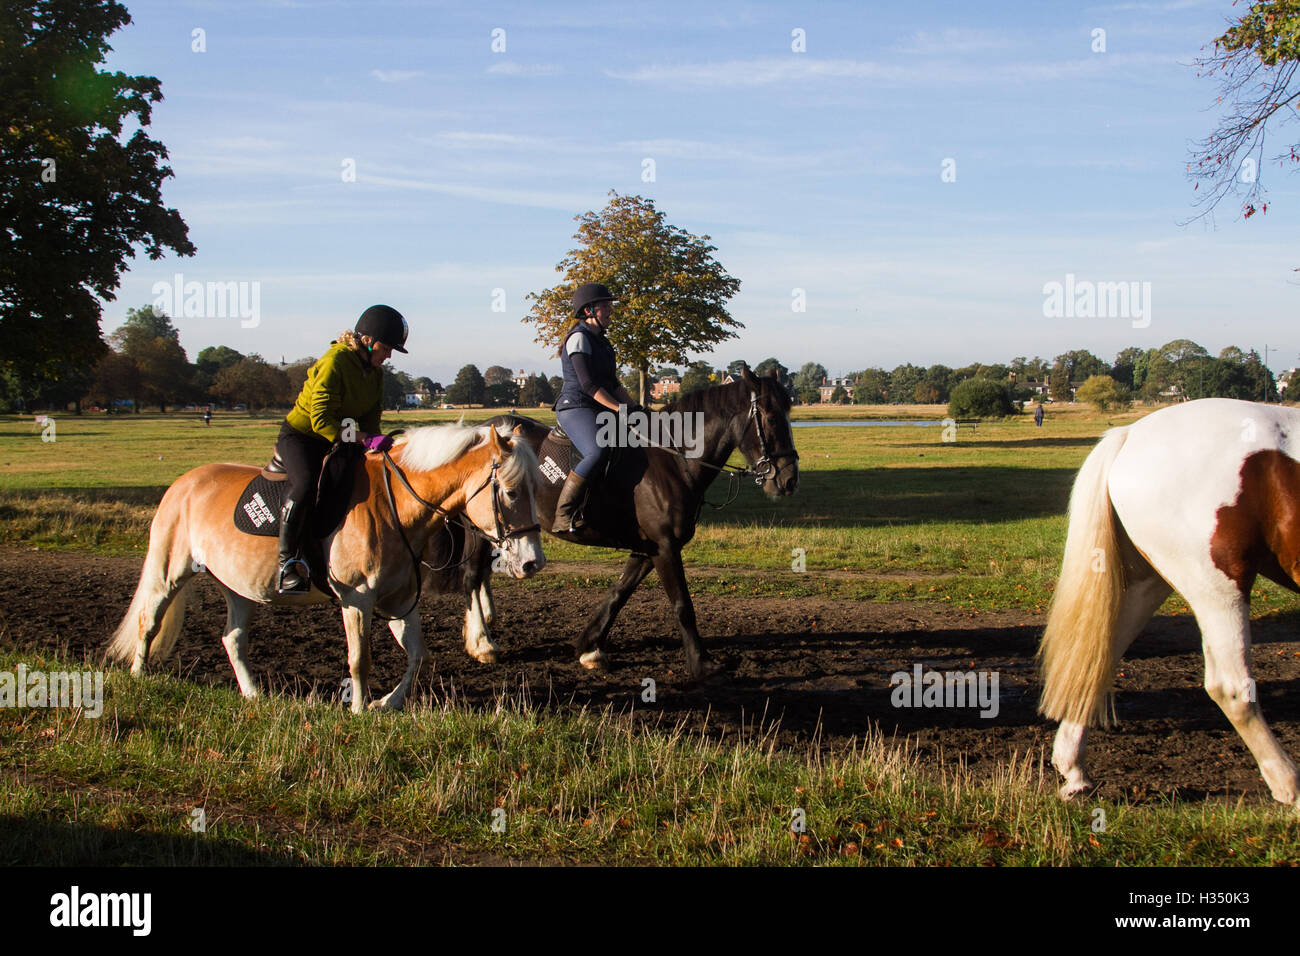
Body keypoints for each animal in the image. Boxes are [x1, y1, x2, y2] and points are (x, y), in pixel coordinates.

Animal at [105, 423, 543, 712]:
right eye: (509, 492)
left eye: (535, 489)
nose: (532, 562)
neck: (393, 505)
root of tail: (184, 483)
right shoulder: (357, 599)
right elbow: (359, 659)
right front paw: (359, 710)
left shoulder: (400, 600)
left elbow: (418, 656)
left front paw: (387, 703)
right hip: (170, 573)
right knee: (149, 620)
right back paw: (139, 676)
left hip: (239, 588)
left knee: (232, 639)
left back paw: (253, 694)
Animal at [465, 365, 799, 680]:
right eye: (771, 418)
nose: (789, 480)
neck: (674, 460)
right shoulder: (665, 548)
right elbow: (682, 605)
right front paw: (701, 663)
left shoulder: (648, 549)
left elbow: (619, 594)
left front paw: (589, 647)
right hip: (478, 530)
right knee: (471, 576)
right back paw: (483, 644)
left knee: (480, 575)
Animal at [1039, 397, 1300, 807]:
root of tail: (1130, 434)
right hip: (1219, 588)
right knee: (1231, 687)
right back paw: (1288, 784)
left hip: (1149, 583)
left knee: (1097, 660)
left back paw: (1074, 770)